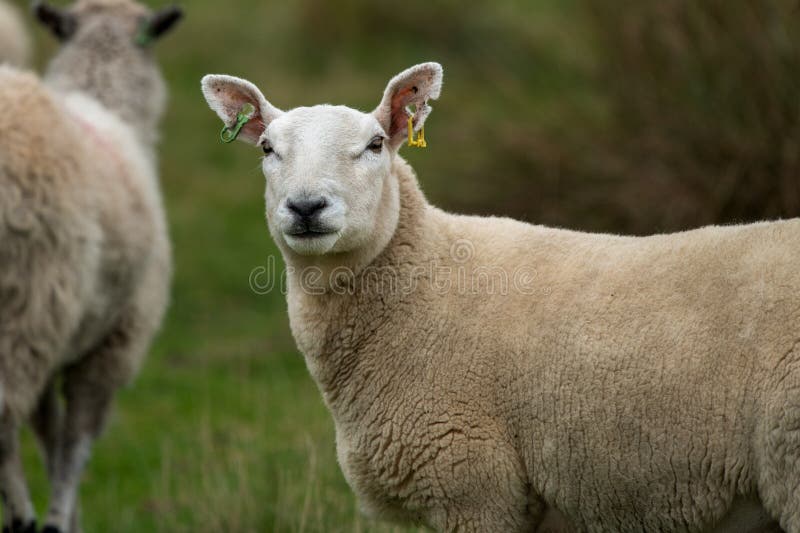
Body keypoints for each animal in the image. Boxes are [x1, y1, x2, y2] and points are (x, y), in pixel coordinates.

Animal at [0, 2, 181, 532]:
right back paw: (20, 515)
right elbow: (75, 445)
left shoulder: (57, 343)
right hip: (25, 305)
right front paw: (58, 520)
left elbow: (50, 436)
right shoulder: (111, 344)